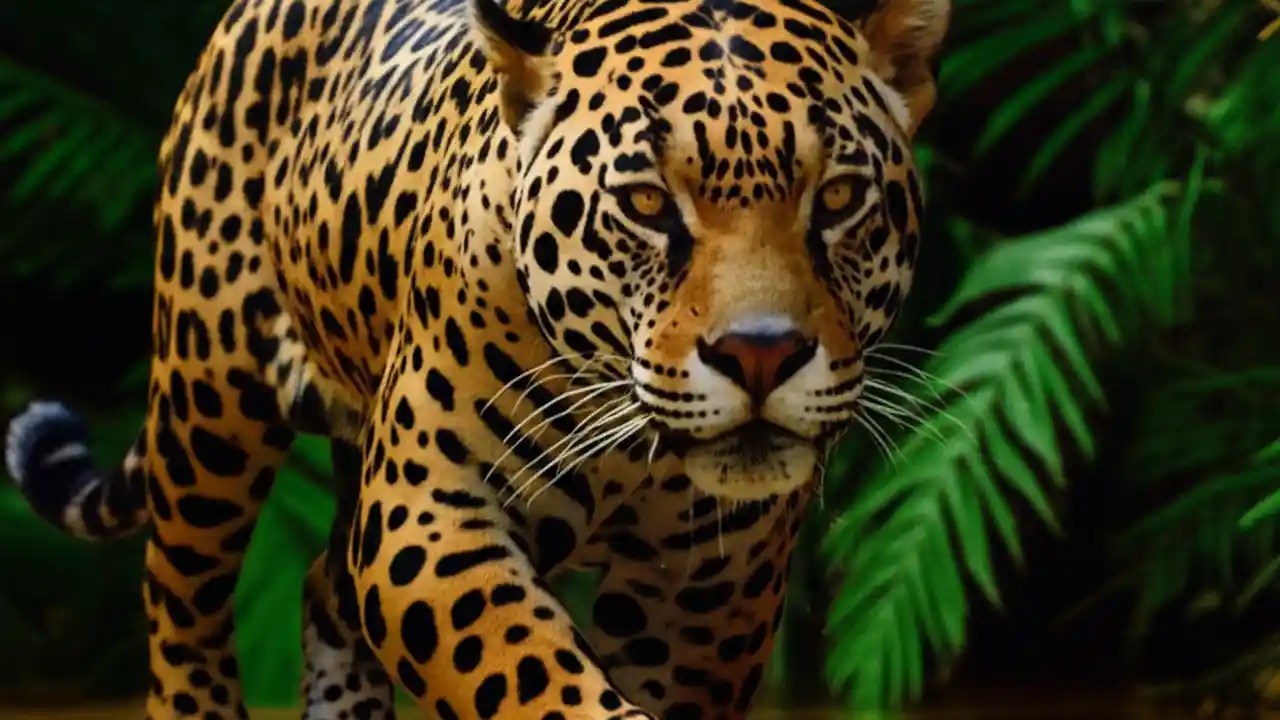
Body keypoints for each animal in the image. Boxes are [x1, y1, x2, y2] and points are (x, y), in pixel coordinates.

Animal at [3, 0, 949, 716]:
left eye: (839, 197)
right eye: (647, 203)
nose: (761, 354)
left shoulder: (710, 585)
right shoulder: (428, 510)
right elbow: (533, 675)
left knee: (322, 584)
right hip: (208, 406)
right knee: (181, 608)